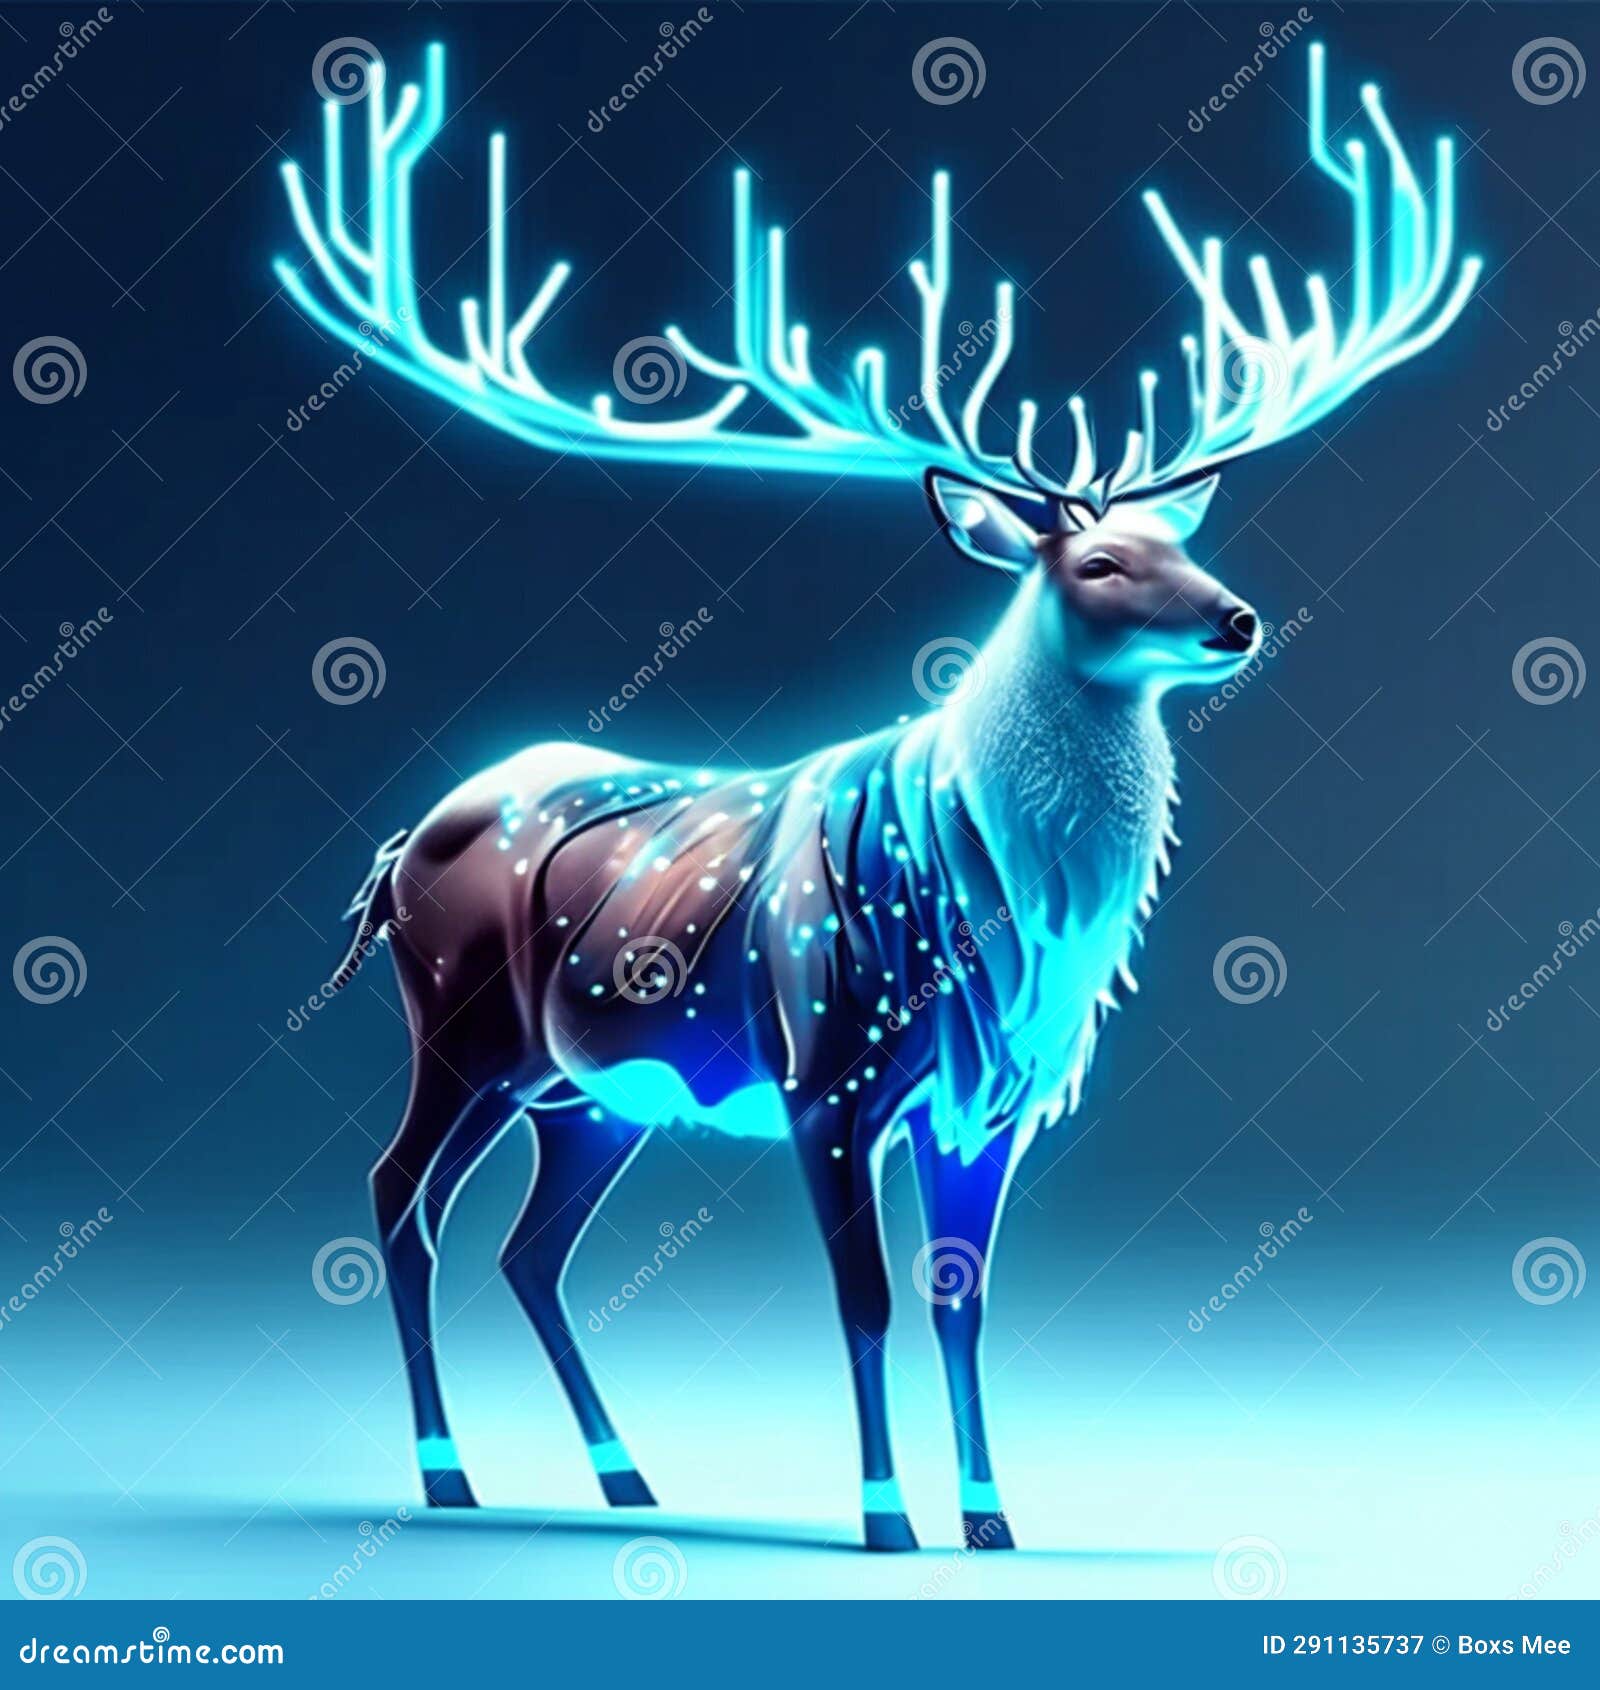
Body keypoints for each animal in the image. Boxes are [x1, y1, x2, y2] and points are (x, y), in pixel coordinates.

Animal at [277, 41, 1476, 1551]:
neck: (1002, 913)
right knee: (399, 1197)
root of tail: (392, 854)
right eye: (1097, 563)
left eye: (1176, 538)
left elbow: (965, 1298)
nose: (1239, 620)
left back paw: (626, 1475)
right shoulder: (830, 1067)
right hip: (463, 1026)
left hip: (588, 1089)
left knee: (528, 1246)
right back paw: (447, 1472)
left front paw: (992, 1518)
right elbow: (868, 1300)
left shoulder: (994, 1097)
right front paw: (886, 1514)